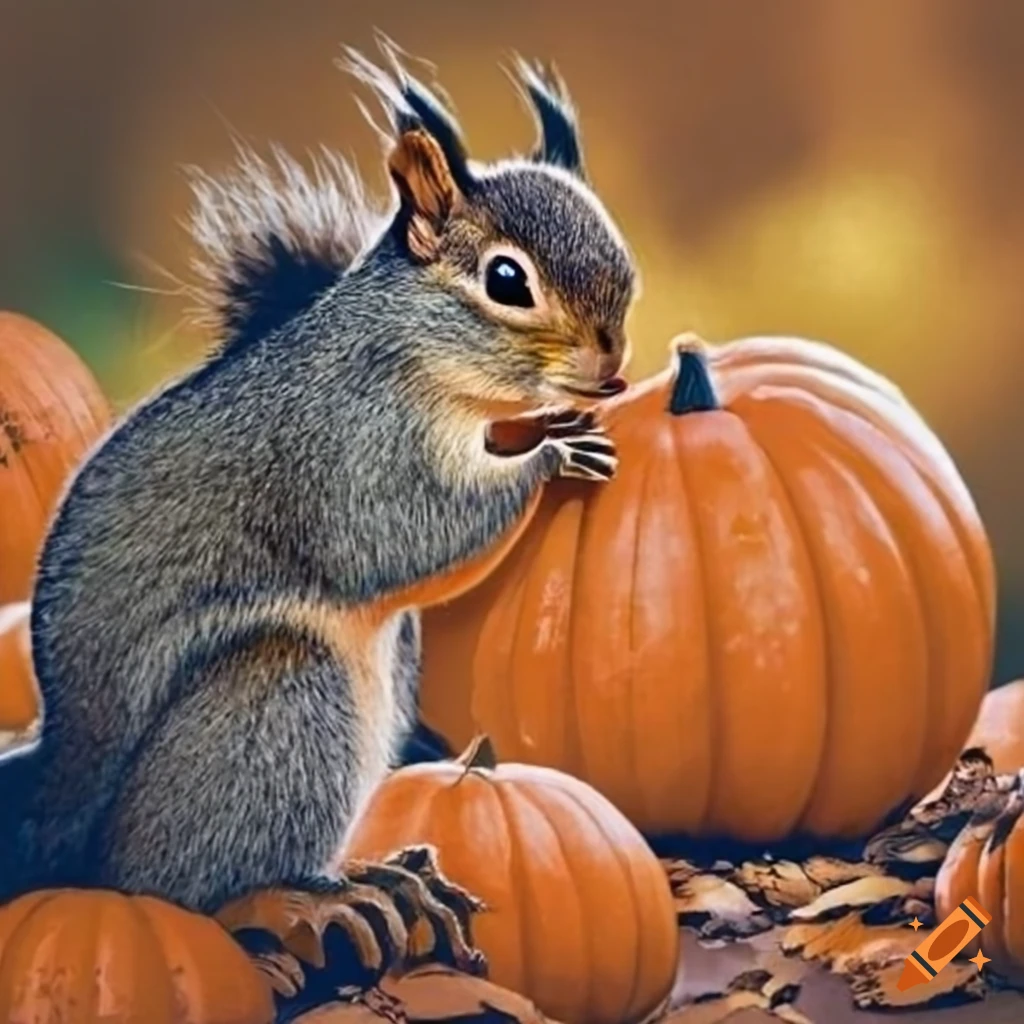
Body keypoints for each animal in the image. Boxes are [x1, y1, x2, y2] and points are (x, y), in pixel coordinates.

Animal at [0, 40, 637, 935]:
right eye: (507, 280)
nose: (610, 364)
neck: (415, 354)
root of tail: (69, 846)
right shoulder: (345, 448)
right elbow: (404, 533)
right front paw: (552, 453)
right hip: (282, 698)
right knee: (182, 887)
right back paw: (326, 893)